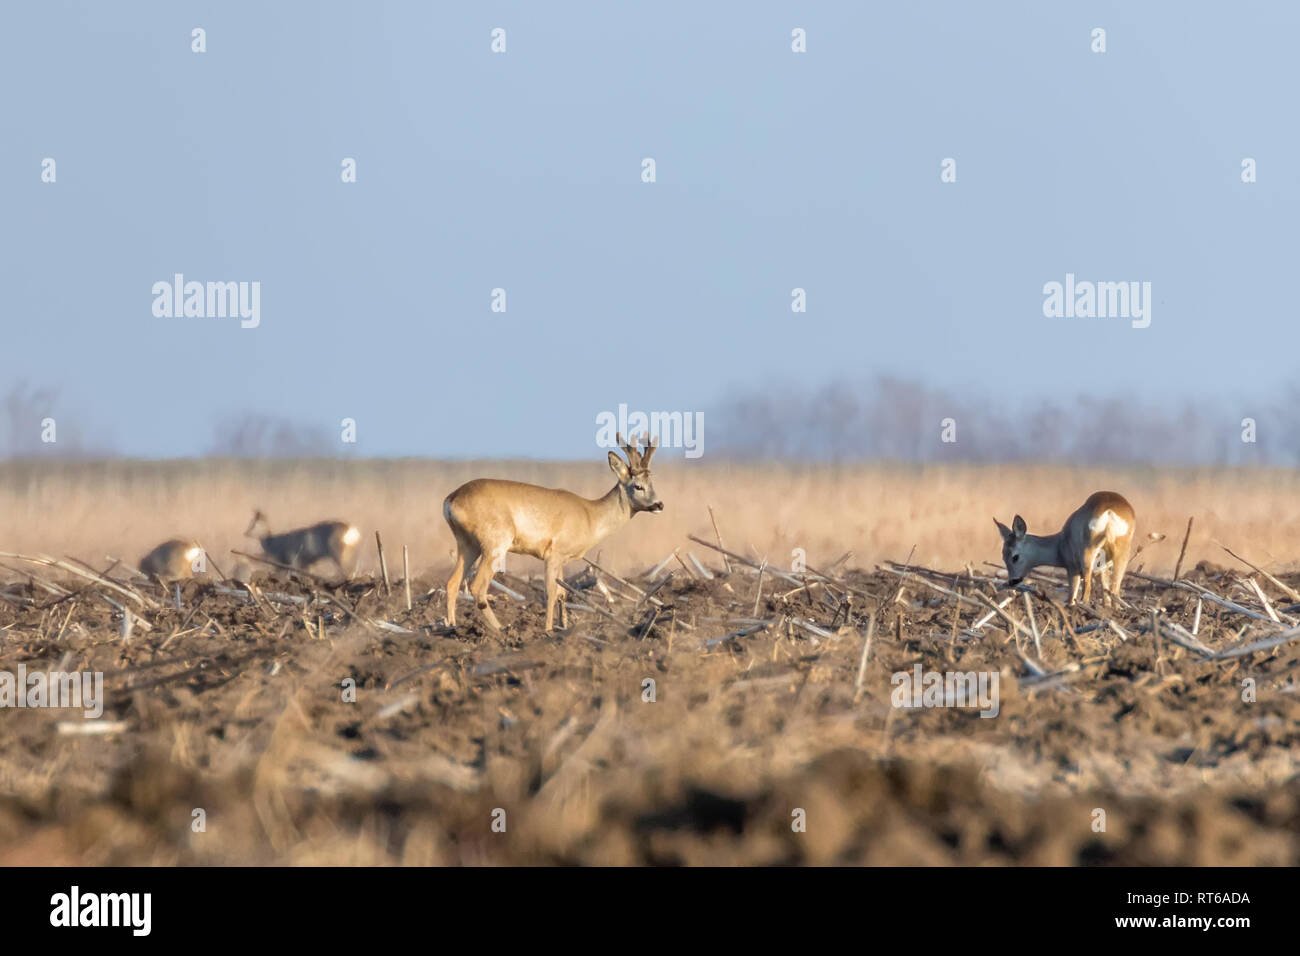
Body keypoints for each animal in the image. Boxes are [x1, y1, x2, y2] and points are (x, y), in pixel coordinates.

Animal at [443, 432, 664, 633]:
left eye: (652, 484)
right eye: (638, 486)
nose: (659, 504)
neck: (590, 515)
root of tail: (452, 499)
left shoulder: (563, 559)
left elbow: (562, 593)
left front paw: (563, 626)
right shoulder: (553, 553)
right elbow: (550, 592)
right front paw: (548, 630)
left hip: (468, 544)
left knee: (452, 583)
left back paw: (451, 626)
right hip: (495, 543)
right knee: (477, 587)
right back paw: (501, 629)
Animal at [995, 491, 1135, 606]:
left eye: (1015, 556)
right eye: (1003, 556)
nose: (1013, 581)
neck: (1060, 546)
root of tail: (1109, 511)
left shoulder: (1072, 568)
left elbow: (1071, 596)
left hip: (1088, 552)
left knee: (1088, 587)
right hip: (1122, 552)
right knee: (1115, 589)